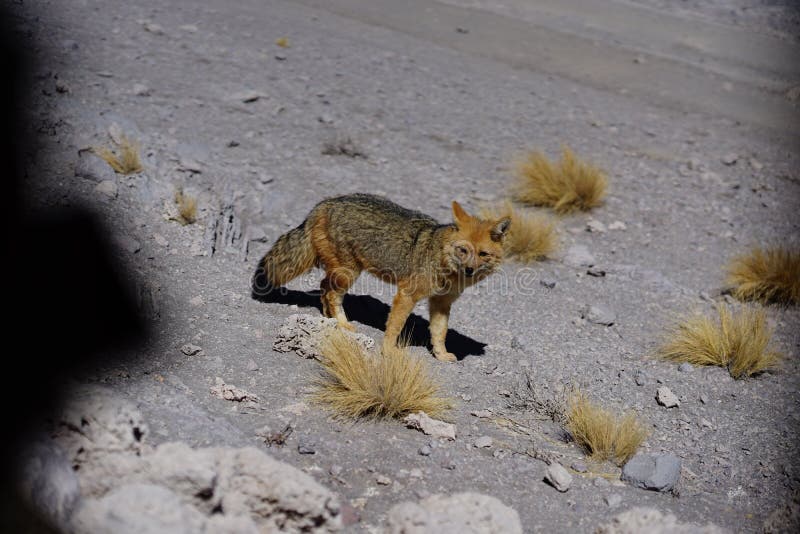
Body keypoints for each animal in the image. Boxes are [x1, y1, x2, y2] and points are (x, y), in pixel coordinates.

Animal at [252, 194, 510, 362]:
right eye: (463, 250)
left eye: (483, 254)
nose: (469, 270)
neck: (442, 258)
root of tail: (323, 205)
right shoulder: (407, 294)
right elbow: (395, 327)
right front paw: (388, 351)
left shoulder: (441, 302)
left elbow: (440, 332)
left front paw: (440, 354)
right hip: (348, 273)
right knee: (331, 293)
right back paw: (343, 323)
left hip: (341, 271)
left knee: (324, 287)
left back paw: (329, 319)